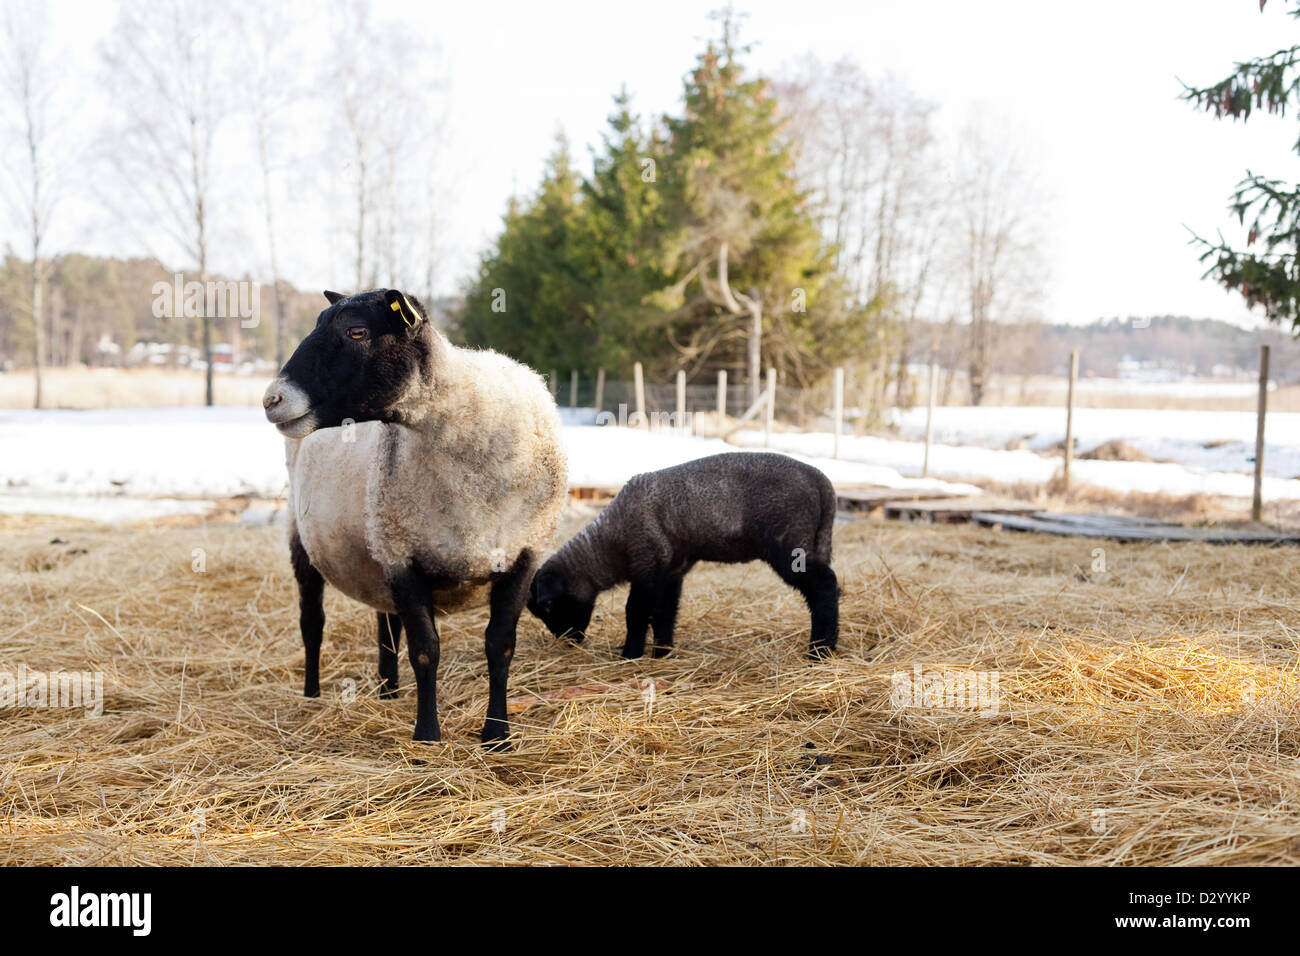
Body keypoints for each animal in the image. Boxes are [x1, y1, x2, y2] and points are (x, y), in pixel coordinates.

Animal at [263, 288, 568, 746]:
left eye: (357, 331)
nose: (271, 399)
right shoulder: (404, 559)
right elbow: (425, 650)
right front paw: (427, 735)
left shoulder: (523, 555)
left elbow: (500, 645)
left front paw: (497, 734)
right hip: (308, 538)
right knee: (312, 622)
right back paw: (312, 695)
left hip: (375, 541)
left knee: (385, 625)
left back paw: (388, 692)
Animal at [527, 452, 838, 659]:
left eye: (548, 607)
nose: (568, 641)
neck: (610, 544)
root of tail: (822, 481)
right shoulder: (671, 570)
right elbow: (664, 612)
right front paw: (662, 652)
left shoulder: (646, 564)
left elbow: (635, 611)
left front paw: (630, 654)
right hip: (816, 542)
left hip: (789, 544)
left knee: (825, 586)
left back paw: (820, 650)